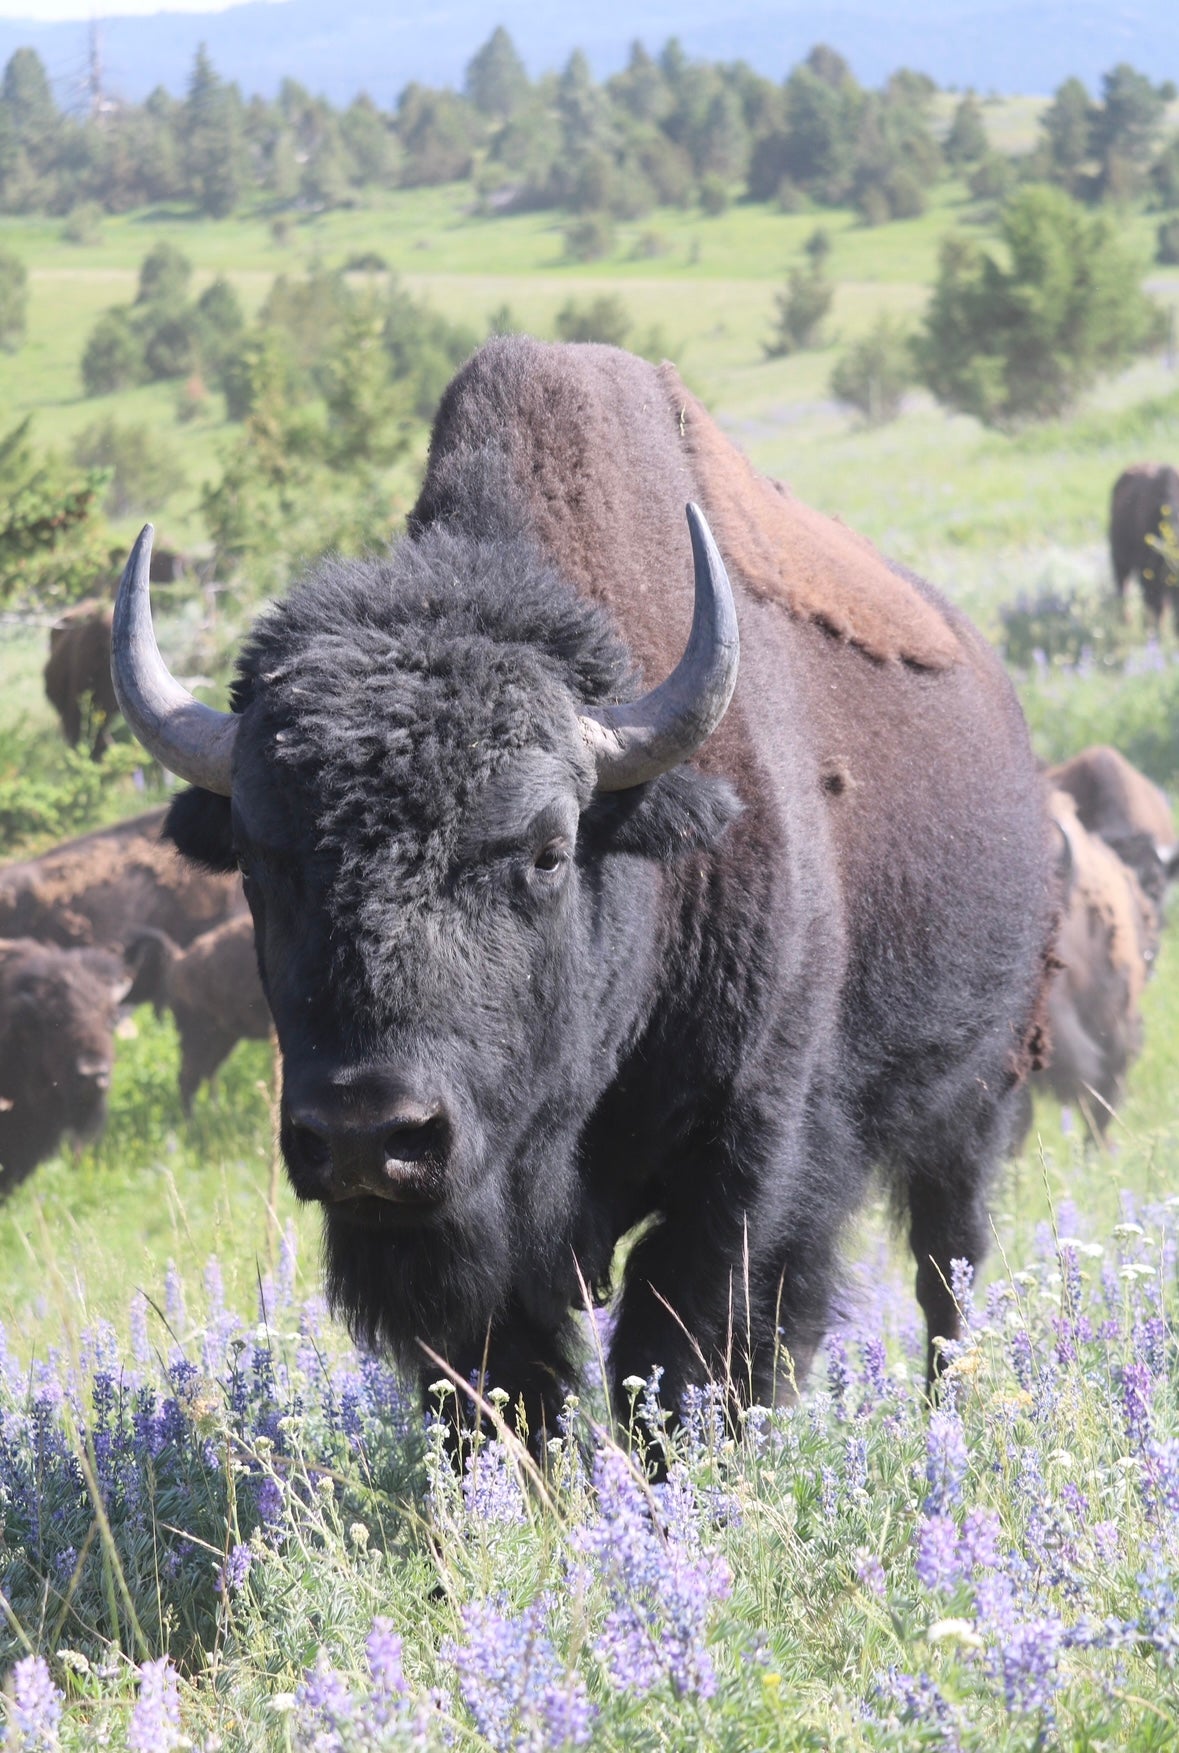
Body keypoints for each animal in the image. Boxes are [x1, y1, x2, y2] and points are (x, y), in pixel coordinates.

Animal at [112, 338, 1057, 1439]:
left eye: (547, 849)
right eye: (261, 860)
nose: (366, 1132)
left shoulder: (746, 1160)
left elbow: (684, 1347)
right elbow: (503, 1378)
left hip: (976, 1095)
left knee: (946, 1265)